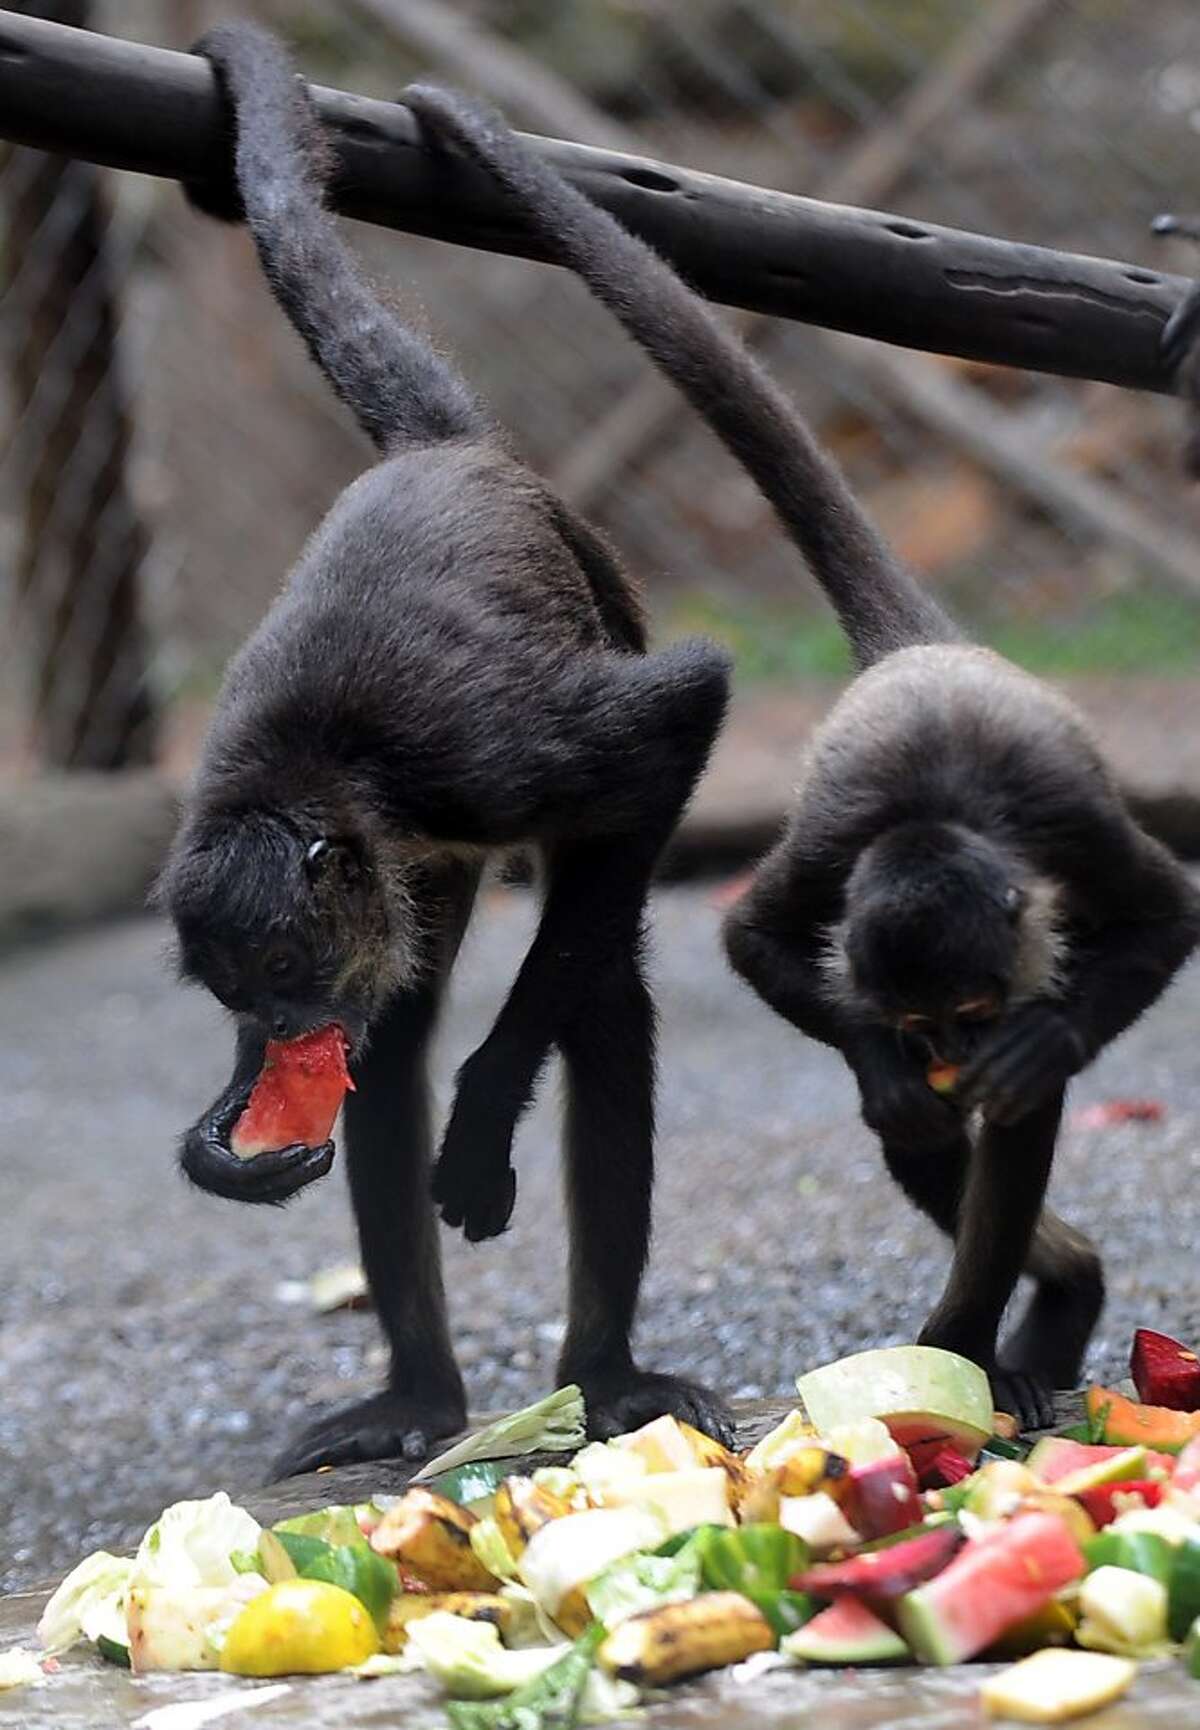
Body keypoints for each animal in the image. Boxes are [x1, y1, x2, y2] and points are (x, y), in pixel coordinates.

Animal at [161, 22, 736, 1476]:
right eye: (240, 989)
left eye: (284, 969)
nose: (282, 1025)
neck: (314, 772)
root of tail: (448, 453)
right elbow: (366, 1052)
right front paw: (231, 1123)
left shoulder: (478, 756)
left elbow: (689, 704)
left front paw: (480, 1124)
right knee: (396, 1034)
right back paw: (420, 1397)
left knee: (603, 994)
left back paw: (604, 1372)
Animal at [401, 86, 1200, 1429]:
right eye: (915, 1018)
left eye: (968, 1009)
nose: (941, 1049)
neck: (940, 799)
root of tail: (926, 651)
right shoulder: (841, 847)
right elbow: (756, 940)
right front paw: (890, 1072)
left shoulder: (1058, 814)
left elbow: (1164, 918)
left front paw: (1036, 1045)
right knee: (918, 1136)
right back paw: (1020, 1304)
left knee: (1012, 1117)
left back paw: (985, 1325)